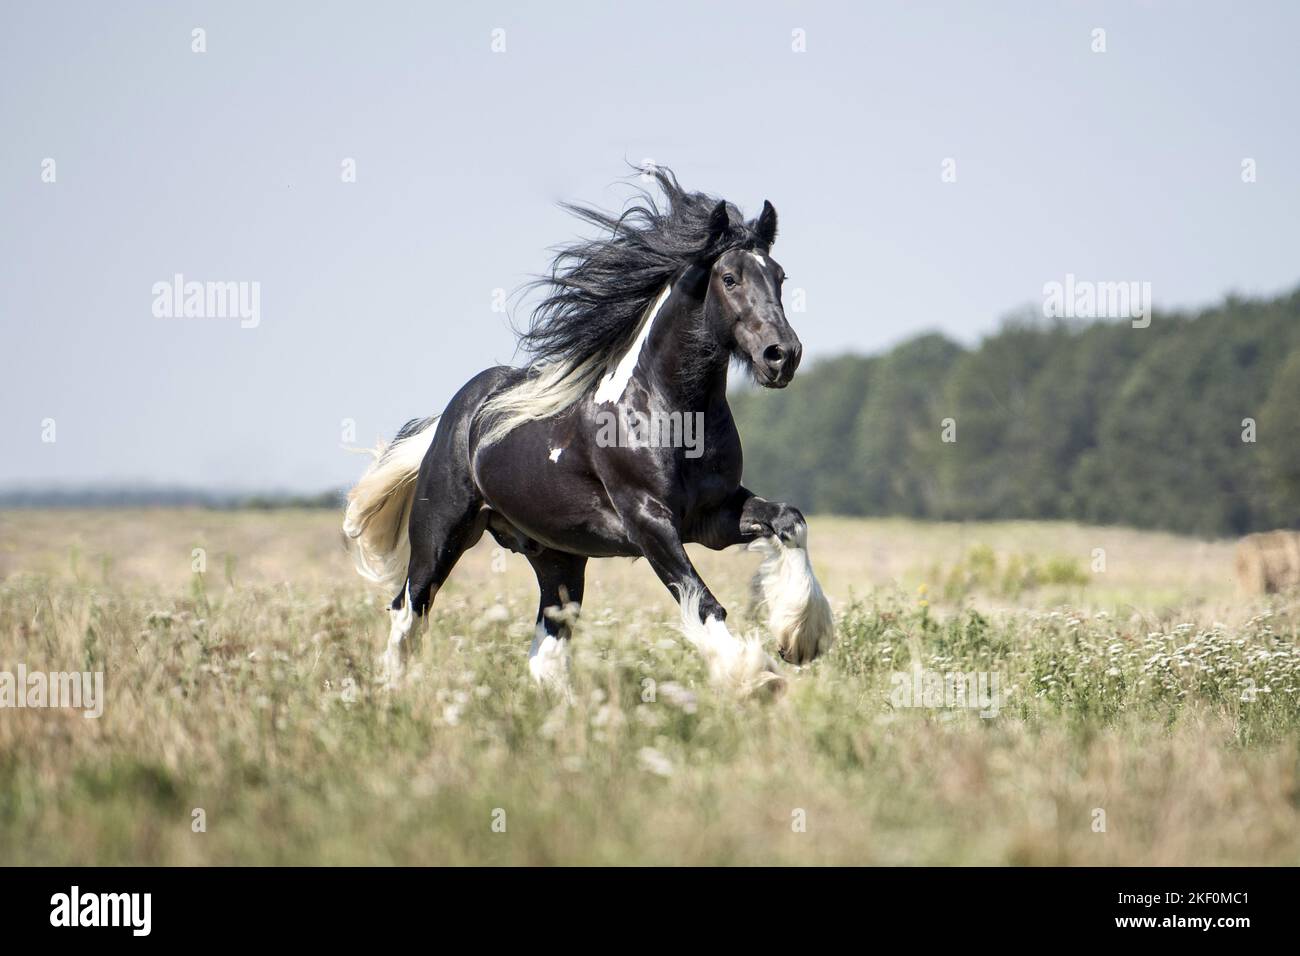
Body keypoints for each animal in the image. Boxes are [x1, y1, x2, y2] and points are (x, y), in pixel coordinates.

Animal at [343, 168, 833, 697]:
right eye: (729, 278)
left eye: (779, 277)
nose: (782, 355)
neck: (668, 411)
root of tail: (456, 417)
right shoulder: (649, 522)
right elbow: (703, 601)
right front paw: (756, 676)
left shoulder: (714, 515)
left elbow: (789, 520)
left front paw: (800, 638)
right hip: (441, 535)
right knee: (408, 611)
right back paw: (393, 694)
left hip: (558, 557)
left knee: (545, 652)